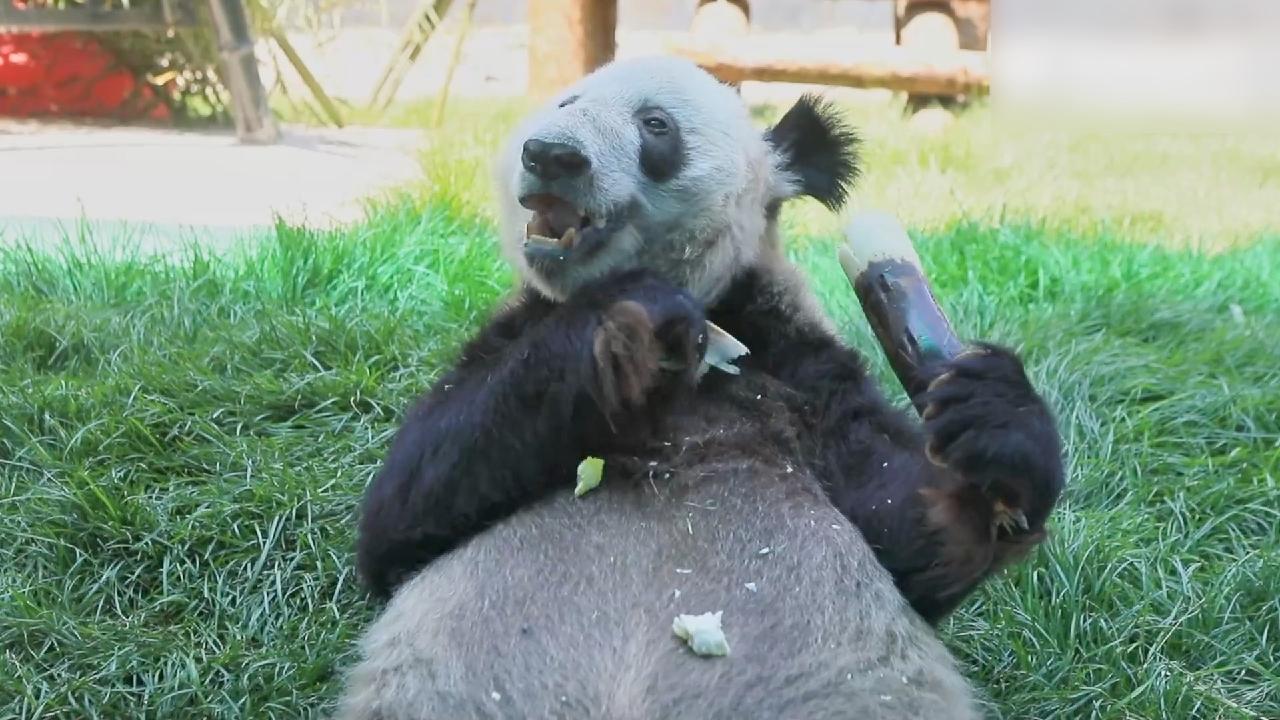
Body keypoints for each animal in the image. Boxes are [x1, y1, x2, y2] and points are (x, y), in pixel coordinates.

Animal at [339, 55, 1064, 719]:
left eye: (655, 125)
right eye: (566, 102)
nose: (549, 154)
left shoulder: (792, 359)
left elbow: (914, 530)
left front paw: (996, 428)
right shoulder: (517, 328)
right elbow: (402, 509)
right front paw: (630, 313)